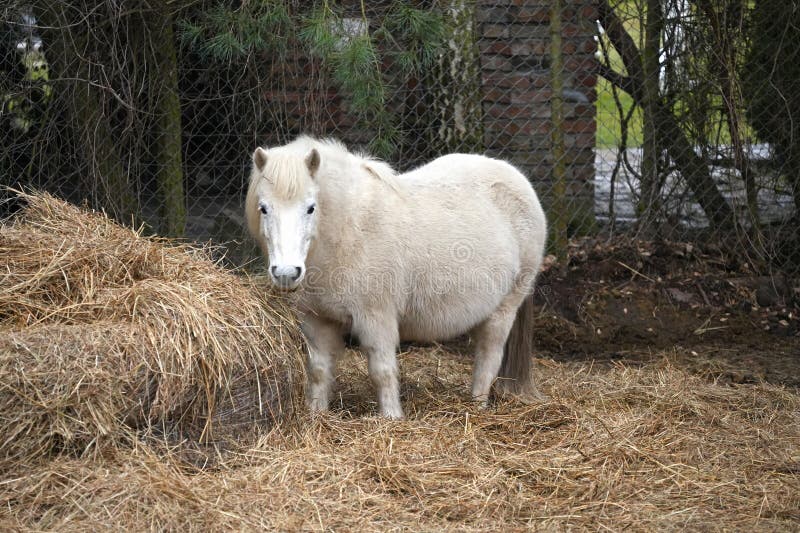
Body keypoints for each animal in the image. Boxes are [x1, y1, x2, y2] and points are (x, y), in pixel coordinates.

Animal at [245, 136, 547, 419]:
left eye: (310, 207)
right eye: (264, 208)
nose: (286, 273)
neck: (348, 232)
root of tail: (519, 181)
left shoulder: (376, 319)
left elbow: (382, 372)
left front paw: (392, 418)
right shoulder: (317, 320)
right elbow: (319, 370)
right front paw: (316, 414)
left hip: (504, 310)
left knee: (488, 358)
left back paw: (477, 406)